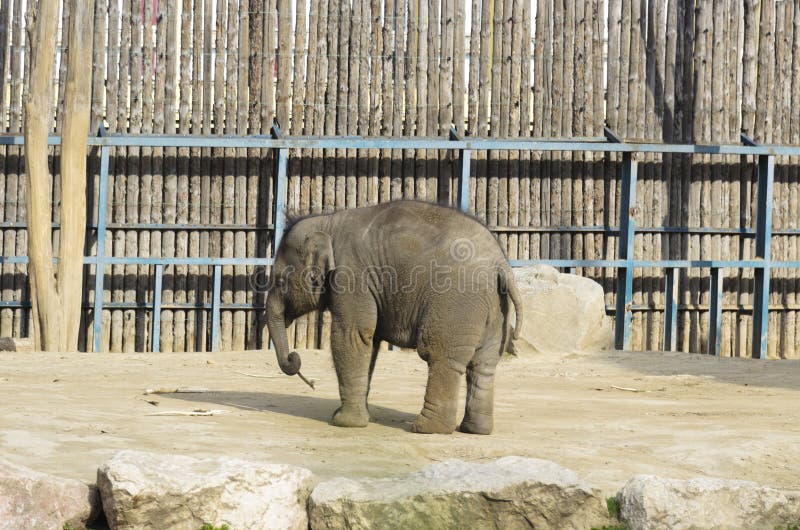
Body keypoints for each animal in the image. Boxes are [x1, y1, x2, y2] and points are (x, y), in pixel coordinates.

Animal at [265, 200, 523, 435]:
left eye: (280, 280)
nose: (295, 359)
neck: (327, 221)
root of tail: (501, 265)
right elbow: (370, 343)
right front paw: (354, 416)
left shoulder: (351, 276)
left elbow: (352, 336)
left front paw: (344, 422)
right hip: (495, 310)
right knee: (484, 363)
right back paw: (474, 429)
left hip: (456, 302)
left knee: (440, 355)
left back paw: (426, 429)